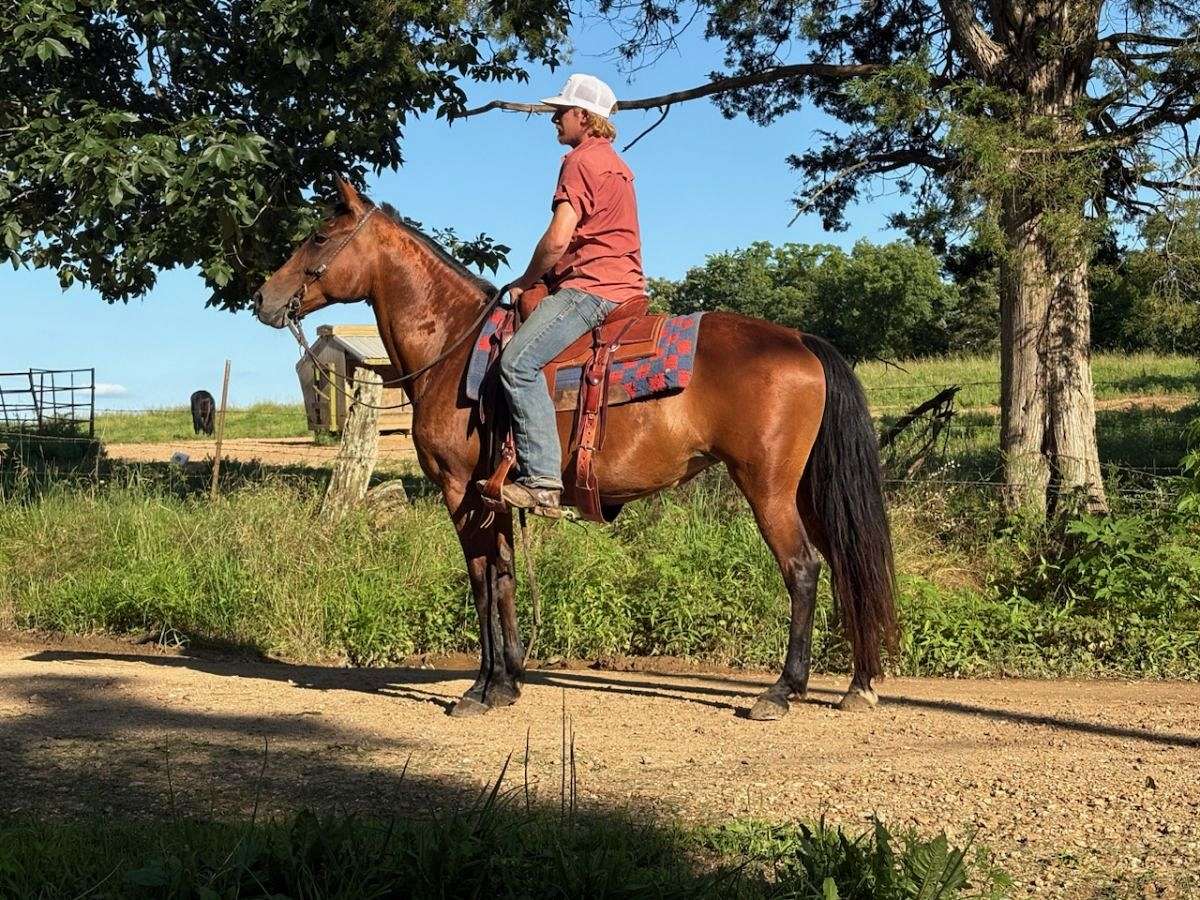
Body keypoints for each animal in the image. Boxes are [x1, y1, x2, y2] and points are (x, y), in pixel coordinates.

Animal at [253, 178, 897, 720]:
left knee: (803, 569)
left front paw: (480, 689)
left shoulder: (462, 492)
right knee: (845, 561)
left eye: (318, 235)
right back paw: (859, 685)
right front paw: (507, 681)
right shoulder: (493, 497)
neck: (453, 347)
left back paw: (783, 690)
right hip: (808, 488)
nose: (263, 296)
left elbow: (481, 579)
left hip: (767, 487)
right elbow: (505, 577)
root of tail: (800, 340)